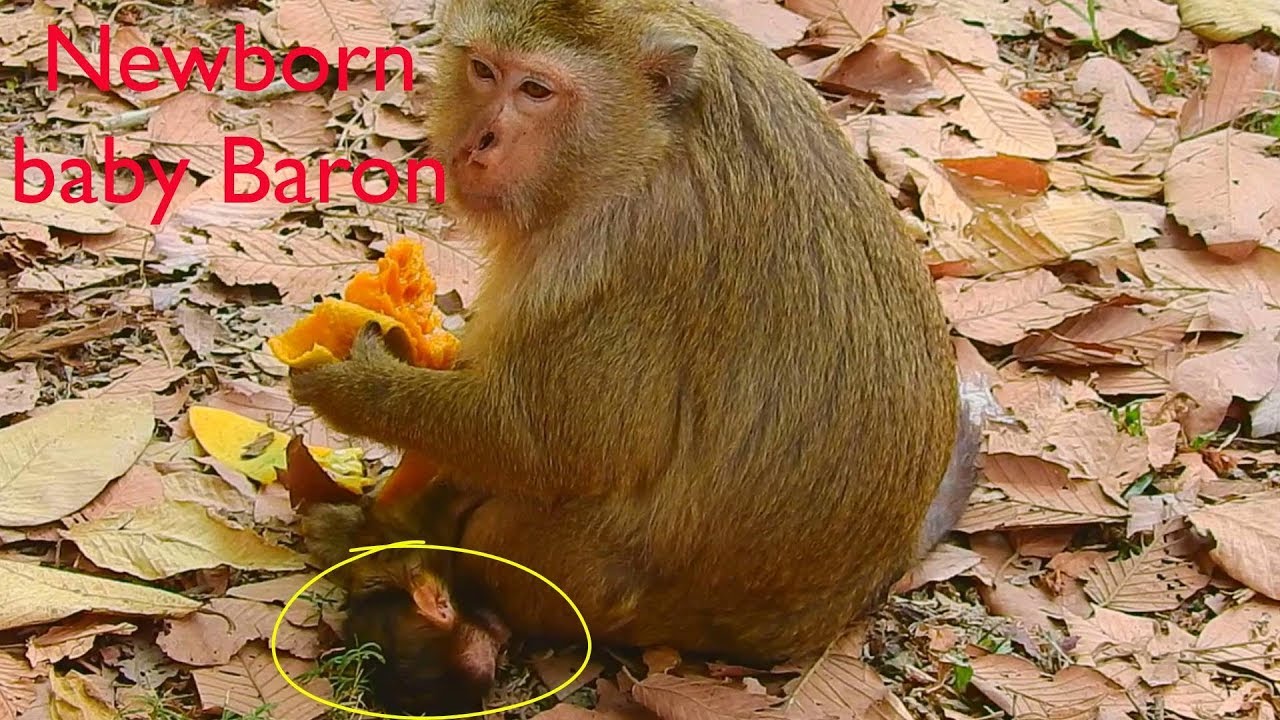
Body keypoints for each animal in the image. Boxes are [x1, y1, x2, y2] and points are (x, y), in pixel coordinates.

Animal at [291, 0, 983, 669]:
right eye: (484, 71)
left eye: (537, 90)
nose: (477, 142)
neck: (647, 146)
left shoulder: (626, 253)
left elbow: (553, 446)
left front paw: (352, 387)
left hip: (604, 592)